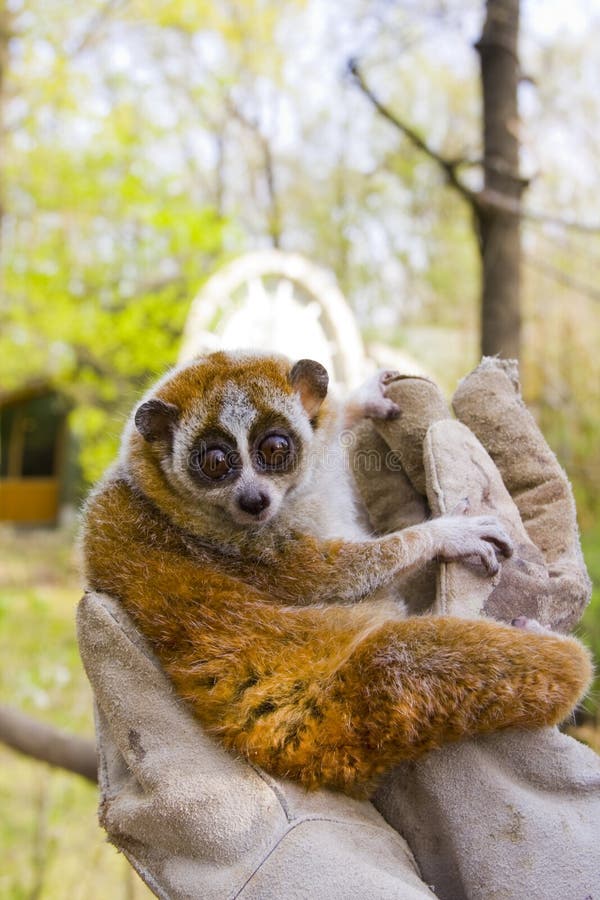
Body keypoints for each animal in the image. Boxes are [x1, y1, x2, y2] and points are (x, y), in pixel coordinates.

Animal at [81, 350, 592, 795]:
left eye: (275, 448)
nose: (253, 500)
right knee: (398, 657)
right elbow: (329, 578)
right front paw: (446, 534)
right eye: (215, 463)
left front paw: (359, 399)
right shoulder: (246, 553)